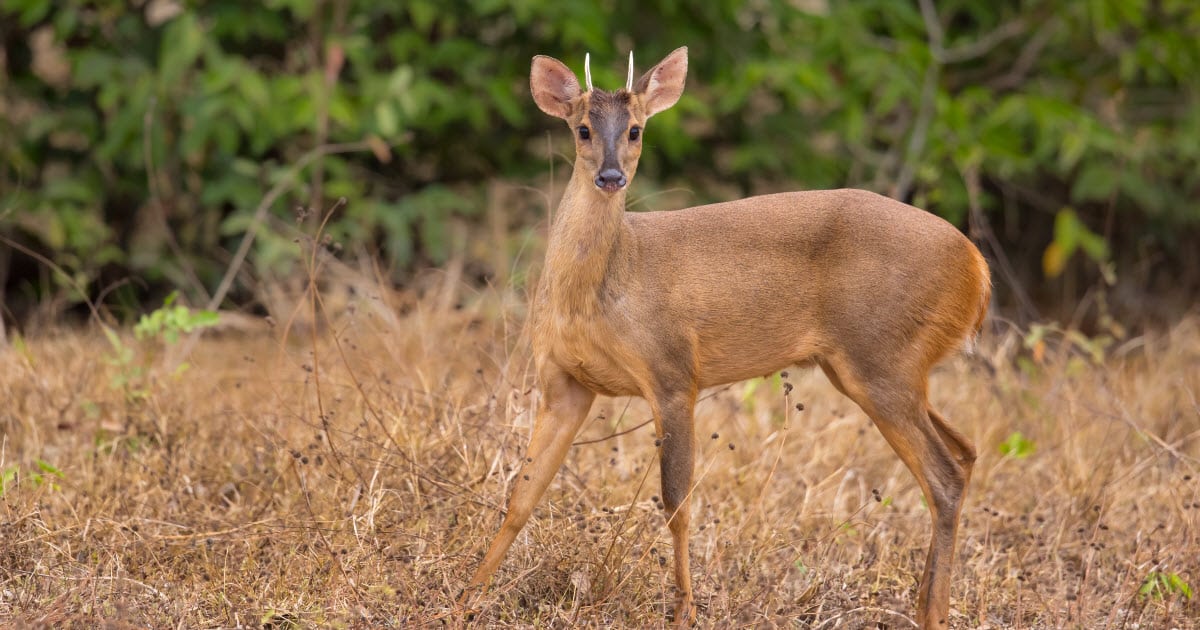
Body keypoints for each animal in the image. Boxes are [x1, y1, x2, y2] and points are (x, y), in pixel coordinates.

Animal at [462, 47, 991, 629]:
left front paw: (684, 611)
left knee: (943, 475)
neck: (603, 289)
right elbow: (522, 494)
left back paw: (934, 612)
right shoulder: (565, 383)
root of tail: (977, 266)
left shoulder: (672, 372)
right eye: (582, 128)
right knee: (965, 452)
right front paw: (469, 595)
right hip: (875, 367)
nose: (610, 176)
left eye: (636, 130)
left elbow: (676, 502)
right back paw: (923, 602)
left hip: (883, 359)